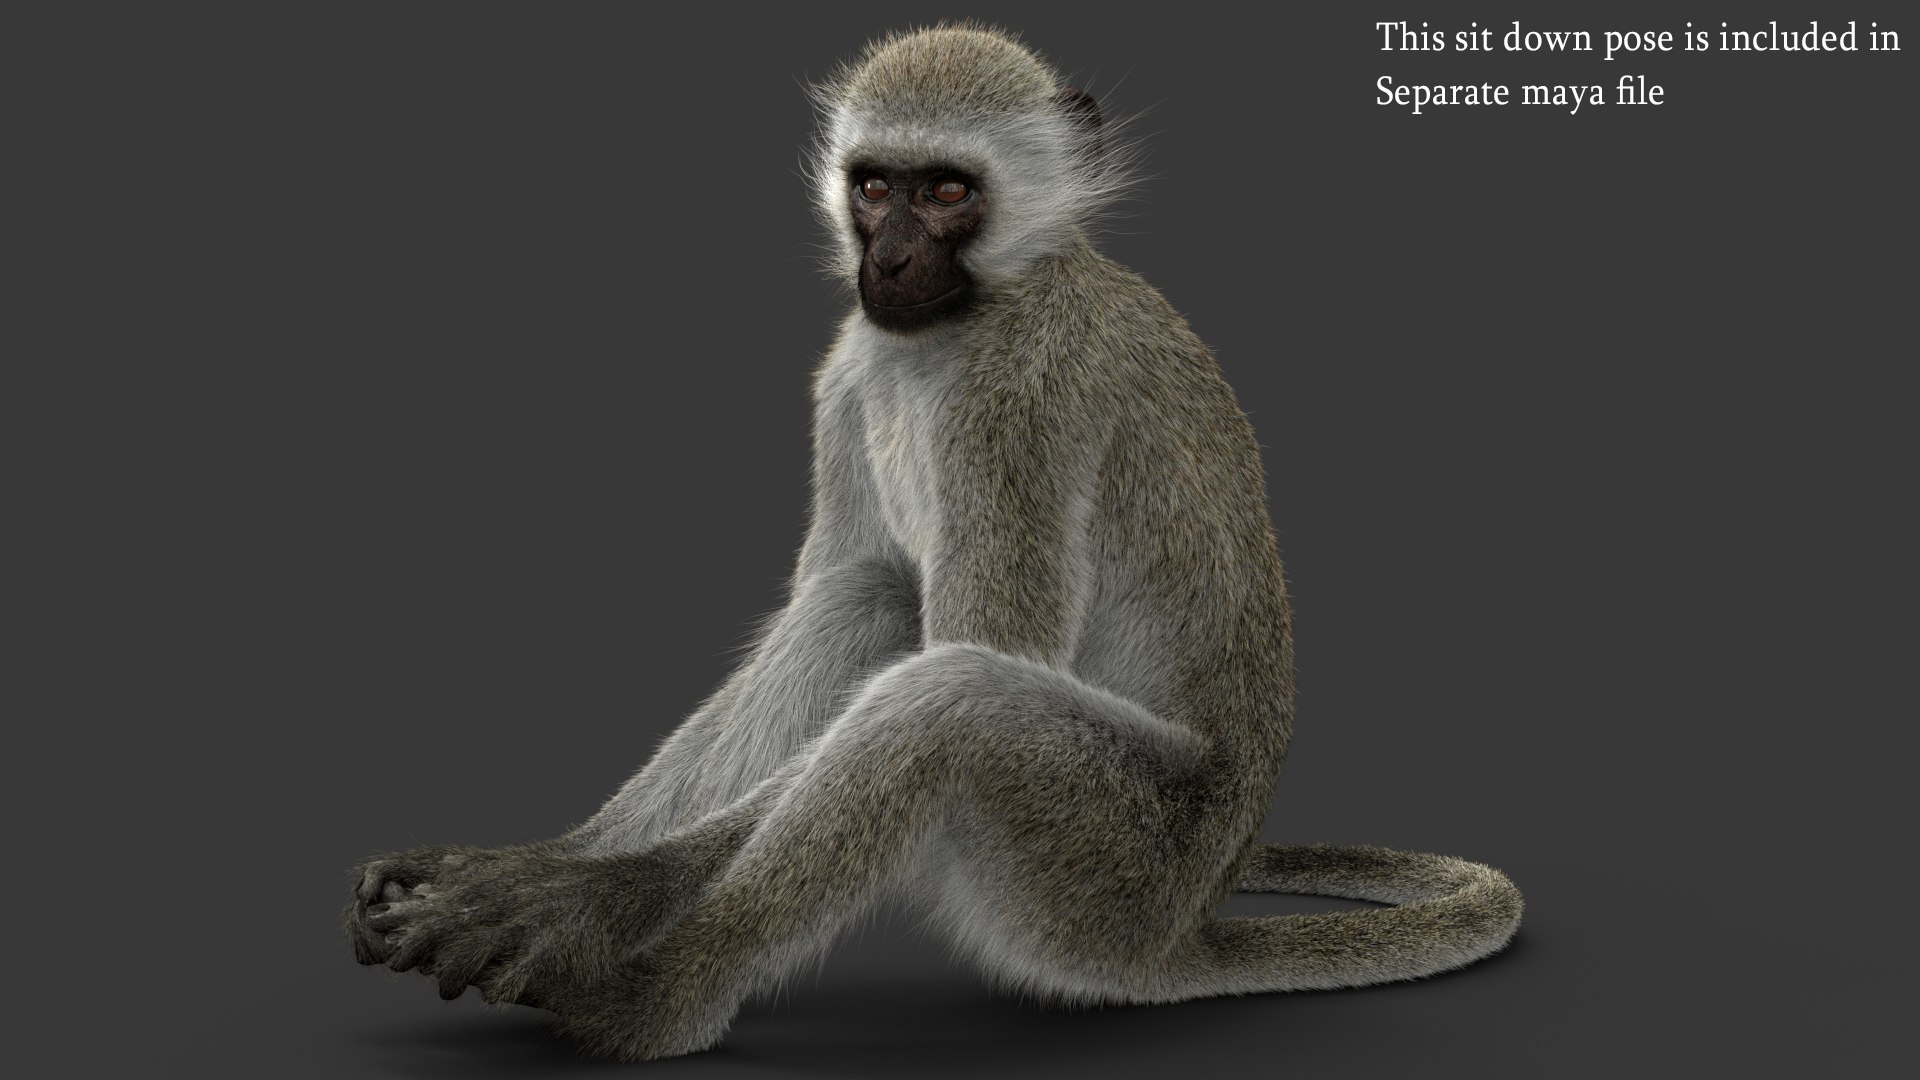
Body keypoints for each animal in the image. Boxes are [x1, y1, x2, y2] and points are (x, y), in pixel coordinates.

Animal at [344, 24, 1523, 1062]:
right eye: (875, 186)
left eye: (949, 191)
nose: (894, 256)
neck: (975, 310)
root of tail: (1178, 929)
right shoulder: (849, 366)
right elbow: (841, 587)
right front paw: (556, 859)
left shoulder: (1023, 394)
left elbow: (986, 651)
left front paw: (581, 895)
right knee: (865, 596)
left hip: (1108, 870)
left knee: (948, 700)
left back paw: (651, 1004)